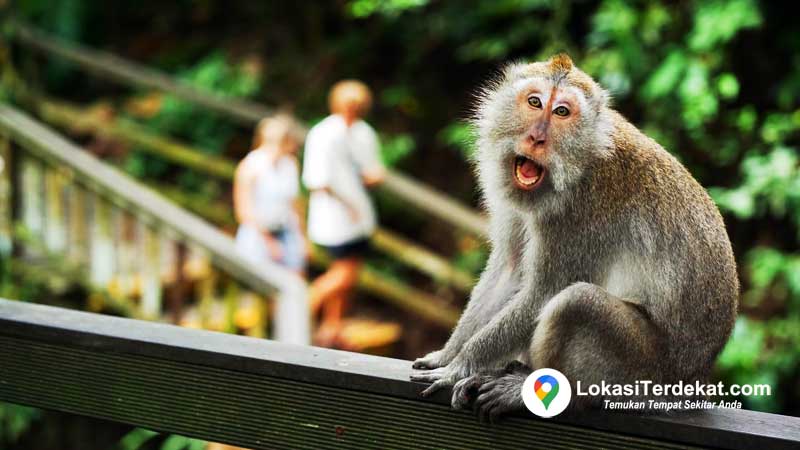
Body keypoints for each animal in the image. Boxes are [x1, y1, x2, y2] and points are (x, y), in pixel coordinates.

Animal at [410, 54, 739, 421]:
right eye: (535, 102)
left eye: (562, 112)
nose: (536, 138)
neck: (578, 163)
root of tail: (692, 383)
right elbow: (508, 270)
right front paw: (446, 354)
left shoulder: (580, 215)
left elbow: (543, 294)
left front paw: (461, 366)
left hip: (643, 373)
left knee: (577, 302)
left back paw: (534, 391)